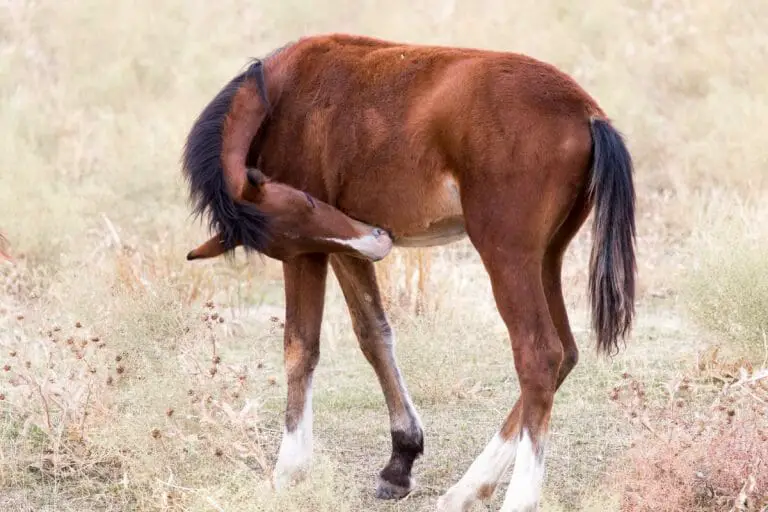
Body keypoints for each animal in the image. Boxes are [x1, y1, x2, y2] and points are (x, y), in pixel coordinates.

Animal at [182, 33, 636, 512]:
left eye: (306, 202)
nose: (380, 240)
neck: (281, 91)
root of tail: (586, 112)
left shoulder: (312, 256)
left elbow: (300, 347)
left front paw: (289, 469)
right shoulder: (339, 247)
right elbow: (374, 336)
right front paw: (400, 461)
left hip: (506, 255)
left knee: (540, 356)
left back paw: (515, 497)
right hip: (546, 258)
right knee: (565, 352)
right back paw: (467, 489)